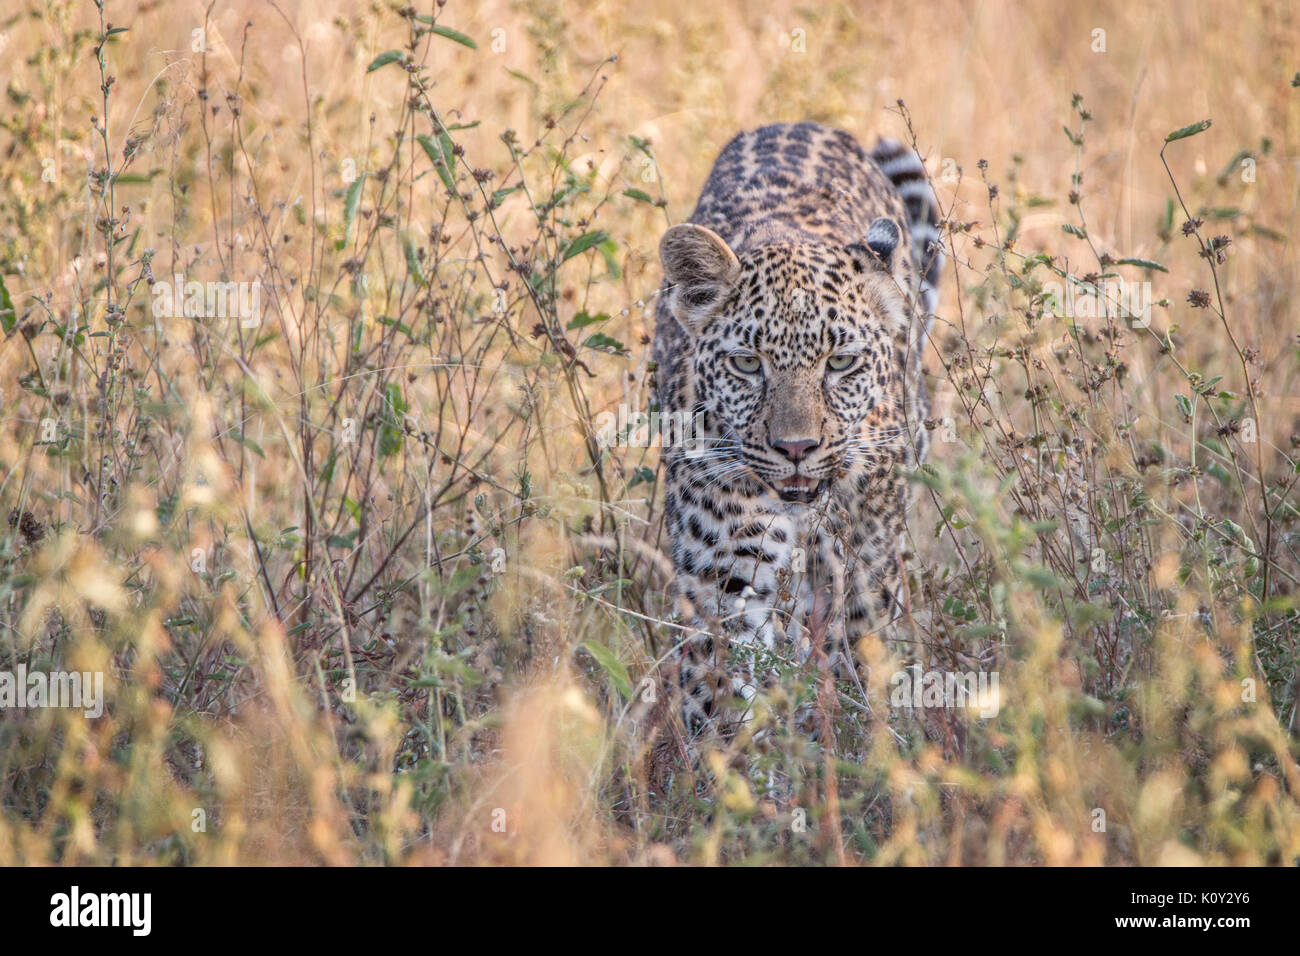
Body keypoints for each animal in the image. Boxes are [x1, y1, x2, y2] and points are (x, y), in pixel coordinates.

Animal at [651, 121, 943, 733]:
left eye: (840, 362)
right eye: (747, 363)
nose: (796, 448)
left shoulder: (871, 553)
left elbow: (861, 638)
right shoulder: (724, 567)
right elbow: (723, 677)